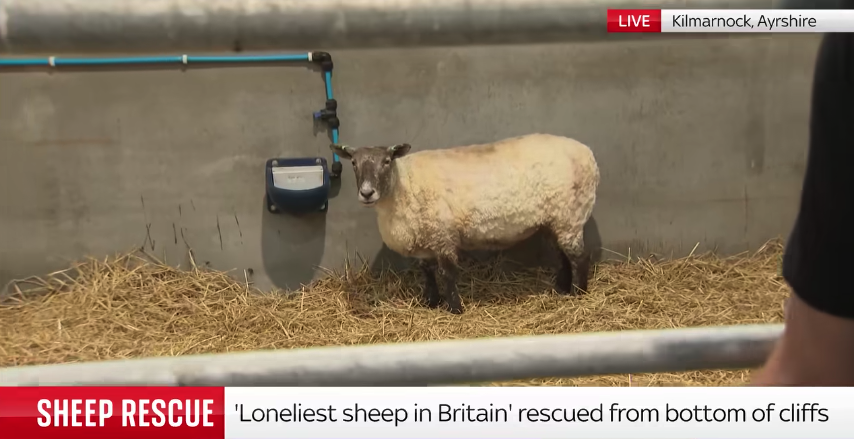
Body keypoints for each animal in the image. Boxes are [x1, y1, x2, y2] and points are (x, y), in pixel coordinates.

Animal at [330, 133, 600, 314]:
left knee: (579, 256)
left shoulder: (443, 234)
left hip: (570, 215)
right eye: (353, 163)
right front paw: (431, 302)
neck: (402, 185)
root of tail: (588, 154)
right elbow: (427, 272)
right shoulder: (426, 237)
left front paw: (455, 308)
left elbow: (448, 274)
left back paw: (579, 293)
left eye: (386, 161)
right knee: (563, 255)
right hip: (556, 220)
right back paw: (562, 288)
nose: (367, 193)